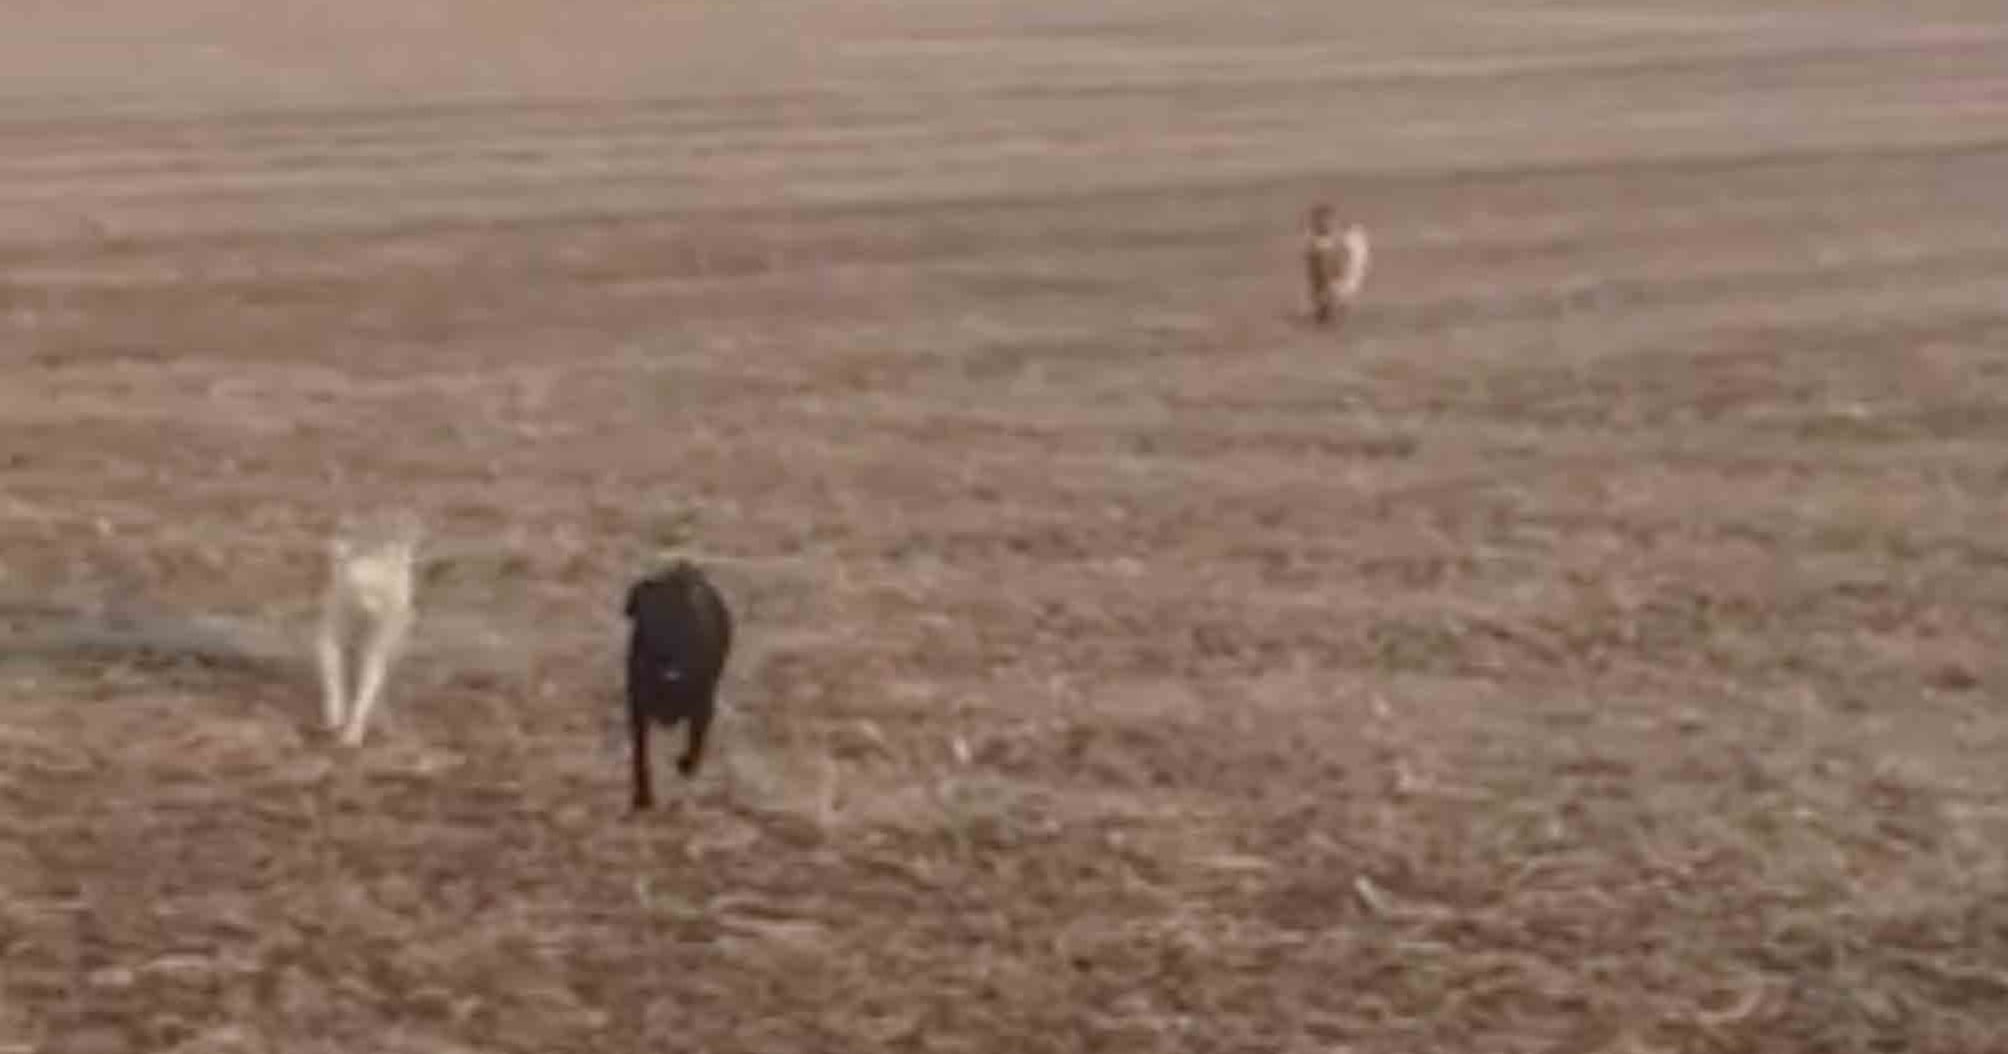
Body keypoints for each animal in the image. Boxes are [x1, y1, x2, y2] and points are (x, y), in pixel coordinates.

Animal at [316, 511, 421, 746]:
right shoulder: (334, 632)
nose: (370, 611)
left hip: (394, 636)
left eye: (378, 592)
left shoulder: (377, 640)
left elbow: (367, 687)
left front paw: (352, 732)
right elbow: (333, 676)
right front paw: (335, 716)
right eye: (357, 590)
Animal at [623, 559, 734, 810]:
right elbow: (641, 758)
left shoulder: (703, 709)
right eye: (646, 625)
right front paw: (643, 796)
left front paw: (687, 765)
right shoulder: (639, 713)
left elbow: (695, 741)